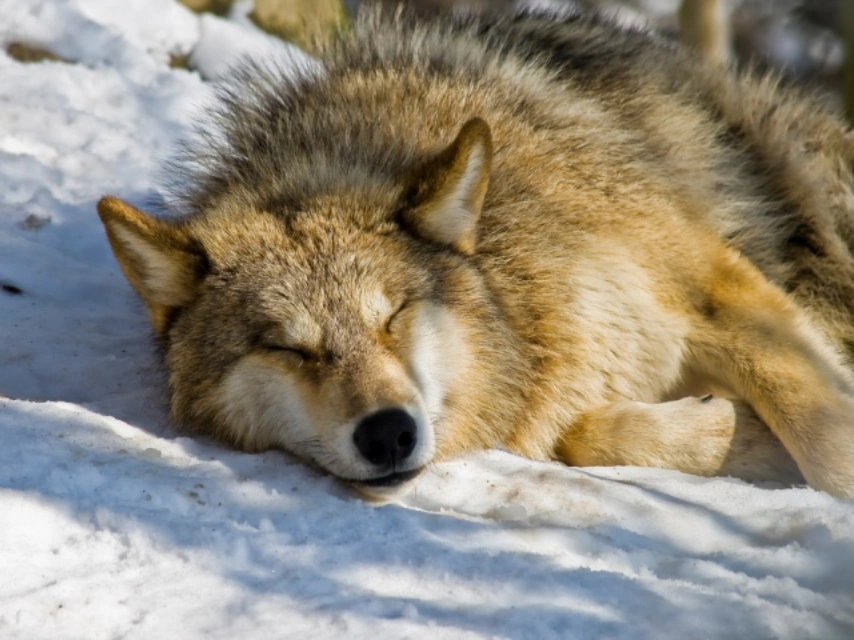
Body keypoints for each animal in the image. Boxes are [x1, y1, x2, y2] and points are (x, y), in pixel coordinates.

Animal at [97, 7, 854, 501]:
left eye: (394, 316)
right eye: (288, 349)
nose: (387, 434)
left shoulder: (717, 292)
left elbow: (827, 449)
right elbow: (583, 437)